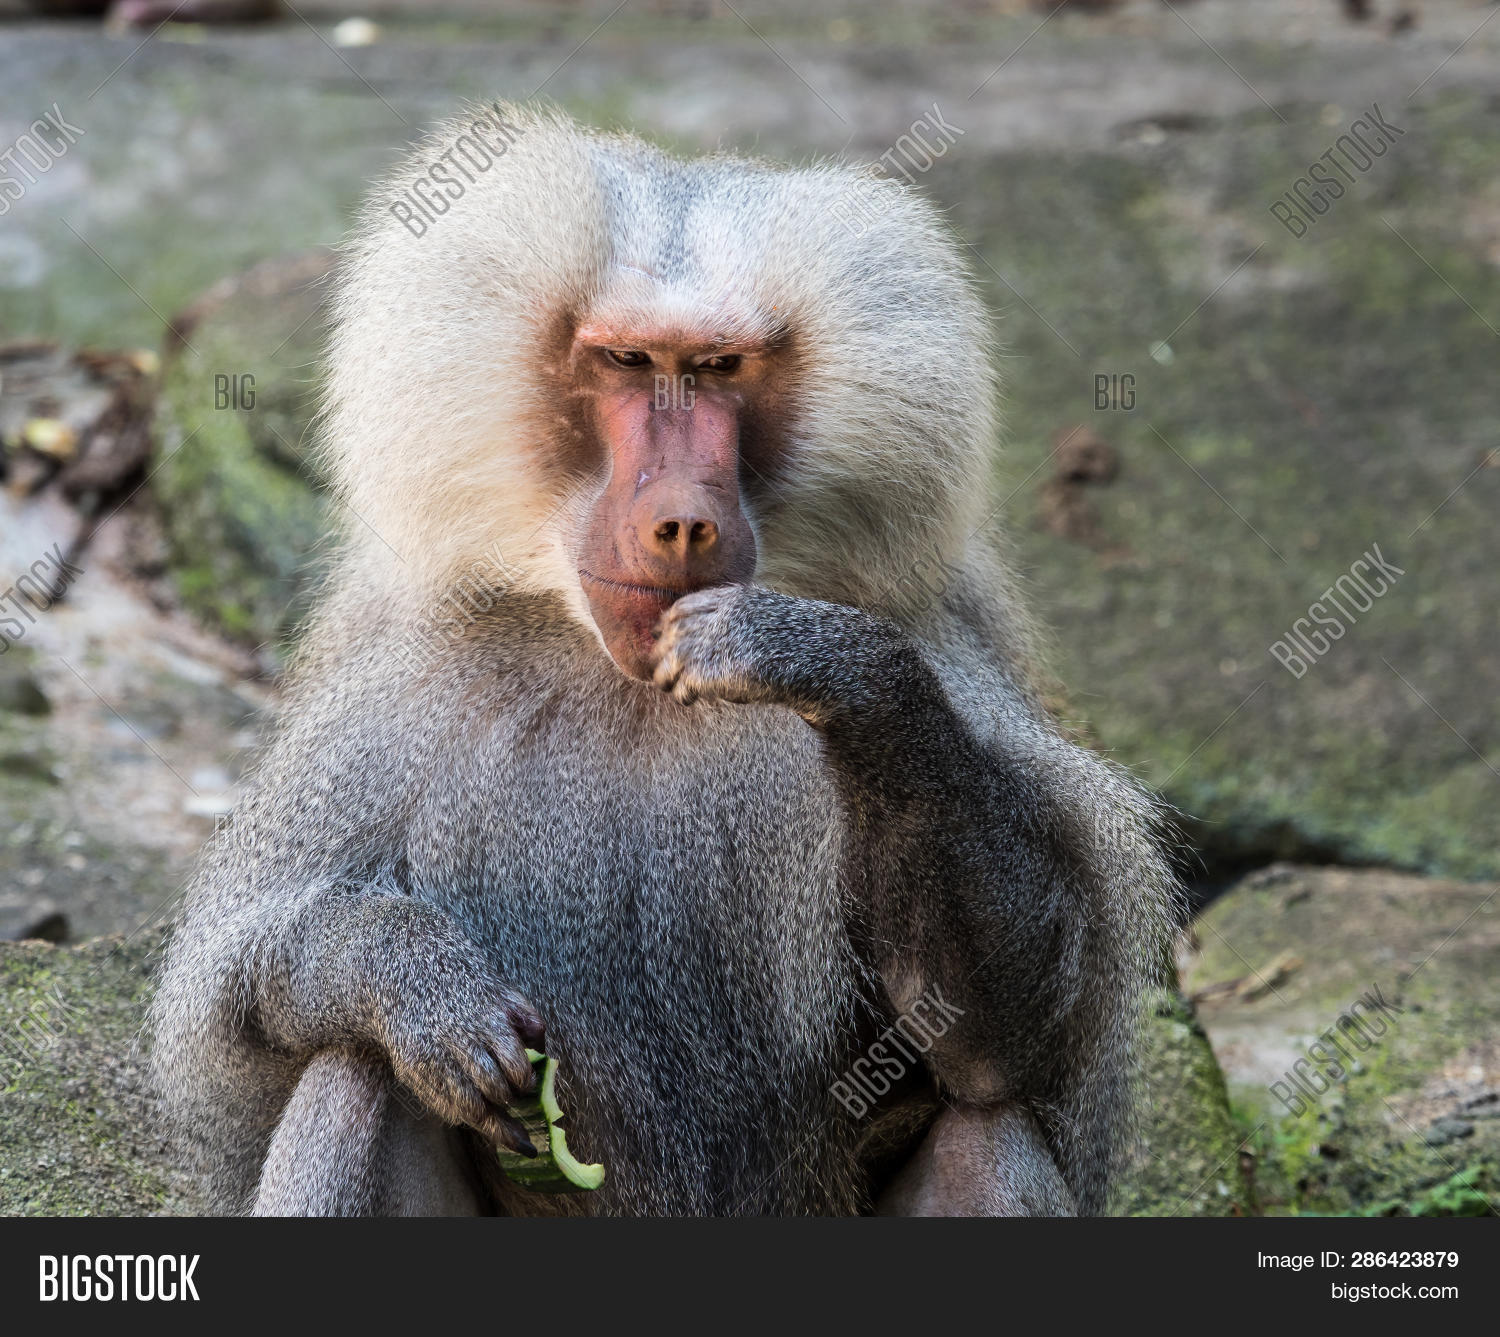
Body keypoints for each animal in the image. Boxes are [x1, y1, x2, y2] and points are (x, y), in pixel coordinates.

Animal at [148, 104, 1182, 1217]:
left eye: (722, 368)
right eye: (629, 361)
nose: (682, 521)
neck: (636, 686)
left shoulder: (960, 668)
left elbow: (1006, 1037)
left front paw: (818, 659)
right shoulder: (397, 694)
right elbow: (230, 1030)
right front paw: (413, 980)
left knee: (986, 1136)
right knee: (358, 1076)